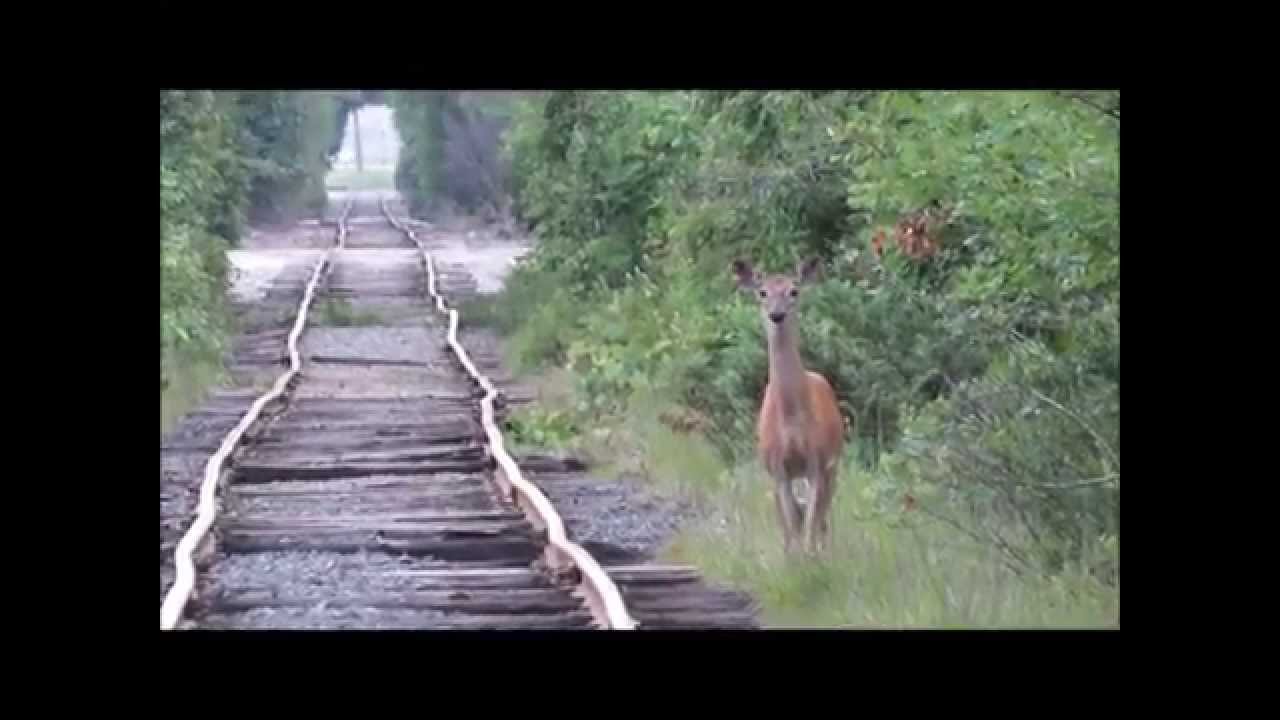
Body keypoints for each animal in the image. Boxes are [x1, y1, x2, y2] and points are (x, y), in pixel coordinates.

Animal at [733, 257, 847, 556]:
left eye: (793, 291)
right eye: (762, 292)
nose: (777, 314)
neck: (791, 424)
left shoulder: (817, 462)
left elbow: (809, 522)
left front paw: (811, 559)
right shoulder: (778, 469)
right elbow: (793, 523)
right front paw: (794, 561)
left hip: (833, 464)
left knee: (823, 515)